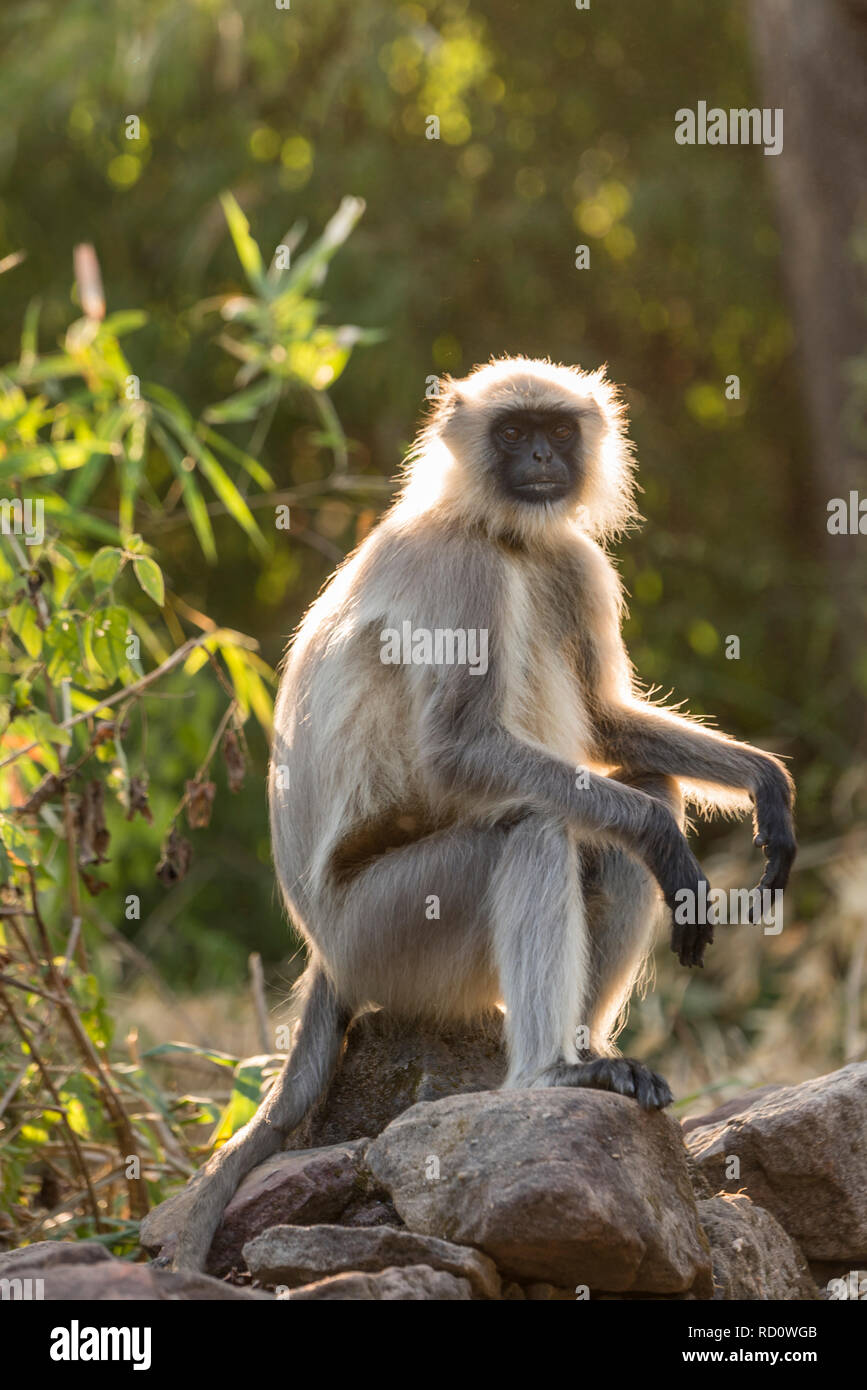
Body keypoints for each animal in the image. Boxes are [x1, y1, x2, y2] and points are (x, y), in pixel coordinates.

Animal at [172, 357, 796, 1271]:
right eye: (512, 432)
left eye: (556, 430)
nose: (539, 456)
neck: (500, 531)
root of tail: (324, 951)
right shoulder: (461, 568)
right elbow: (456, 752)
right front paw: (676, 855)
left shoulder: (568, 558)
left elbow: (604, 723)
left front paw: (764, 782)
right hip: (388, 932)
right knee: (539, 830)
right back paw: (548, 1074)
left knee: (630, 803)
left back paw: (586, 1051)